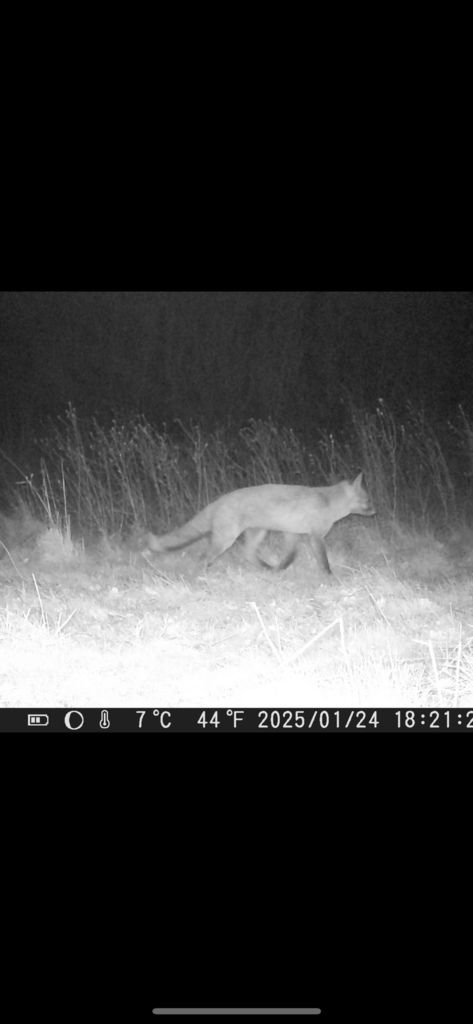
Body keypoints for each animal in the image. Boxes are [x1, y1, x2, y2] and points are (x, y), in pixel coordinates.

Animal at [147, 473, 375, 574]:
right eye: (367, 500)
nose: (376, 510)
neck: (328, 502)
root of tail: (219, 500)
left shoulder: (292, 534)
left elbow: (289, 558)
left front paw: (279, 571)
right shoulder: (315, 536)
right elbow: (324, 561)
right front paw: (329, 577)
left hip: (257, 533)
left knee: (247, 554)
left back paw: (266, 568)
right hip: (226, 539)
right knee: (205, 556)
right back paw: (201, 575)